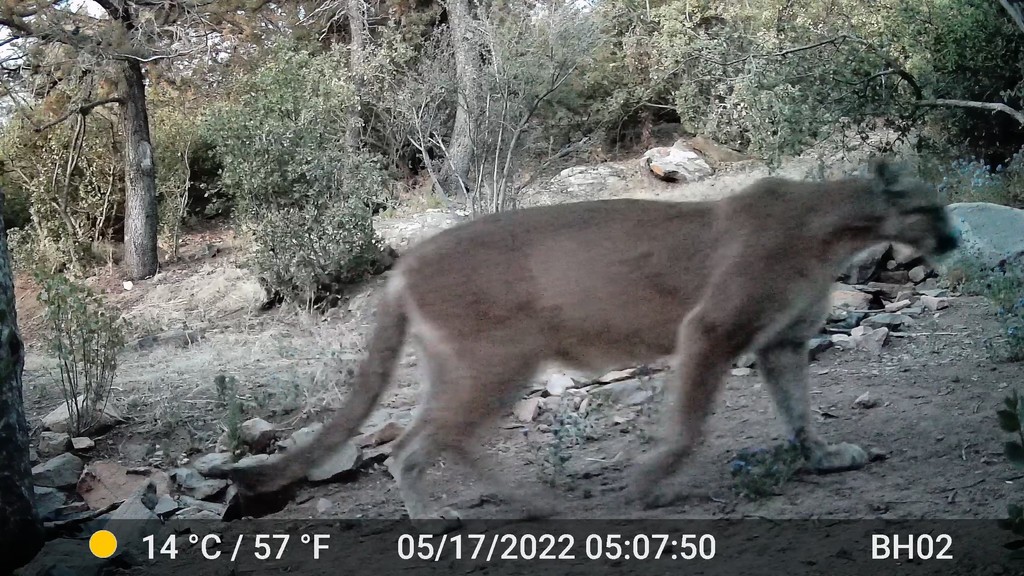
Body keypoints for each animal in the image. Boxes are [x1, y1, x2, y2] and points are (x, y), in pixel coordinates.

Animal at [222, 157, 959, 522]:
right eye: (930, 207)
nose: (953, 238)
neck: (832, 229)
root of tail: (405, 263)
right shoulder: (711, 329)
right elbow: (690, 424)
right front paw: (649, 482)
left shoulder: (782, 343)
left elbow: (799, 411)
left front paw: (825, 457)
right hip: (497, 363)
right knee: (417, 444)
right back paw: (453, 516)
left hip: (471, 368)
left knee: (437, 439)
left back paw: (518, 503)